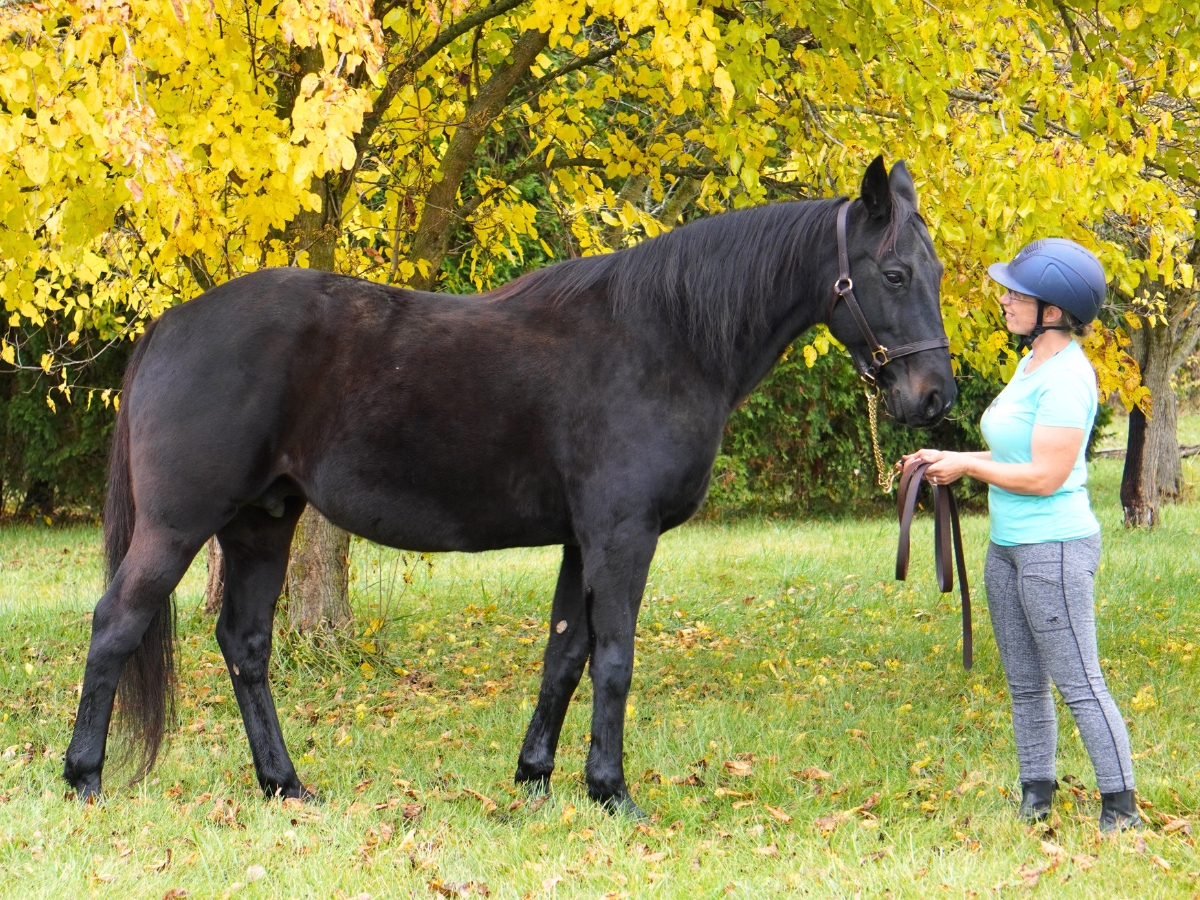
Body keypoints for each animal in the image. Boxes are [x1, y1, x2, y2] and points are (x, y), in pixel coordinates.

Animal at [63, 156, 955, 816]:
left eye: (935, 272)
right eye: (894, 273)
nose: (935, 398)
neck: (664, 339)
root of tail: (173, 324)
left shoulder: (580, 540)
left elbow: (565, 654)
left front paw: (535, 777)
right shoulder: (621, 536)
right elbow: (615, 657)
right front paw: (612, 791)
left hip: (261, 521)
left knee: (245, 645)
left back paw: (285, 785)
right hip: (180, 527)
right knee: (115, 625)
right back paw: (84, 779)